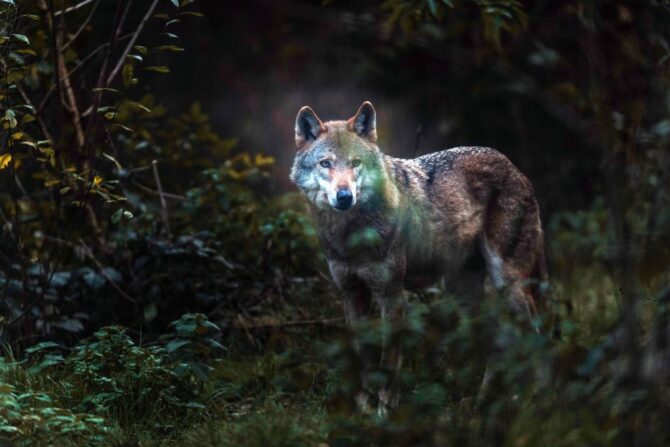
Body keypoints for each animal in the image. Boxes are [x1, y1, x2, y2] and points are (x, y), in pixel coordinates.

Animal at [290, 101, 547, 416]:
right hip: (463, 291)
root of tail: (513, 166)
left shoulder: (391, 295)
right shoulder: (351, 294)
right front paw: (363, 411)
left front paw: (384, 412)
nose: (344, 196)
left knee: (533, 331)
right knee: (497, 341)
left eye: (355, 163)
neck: (353, 237)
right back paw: (482, 403)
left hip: (506, 281)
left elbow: (388, 362)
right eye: (325, 163)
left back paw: (534, 398)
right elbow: (363, 360)